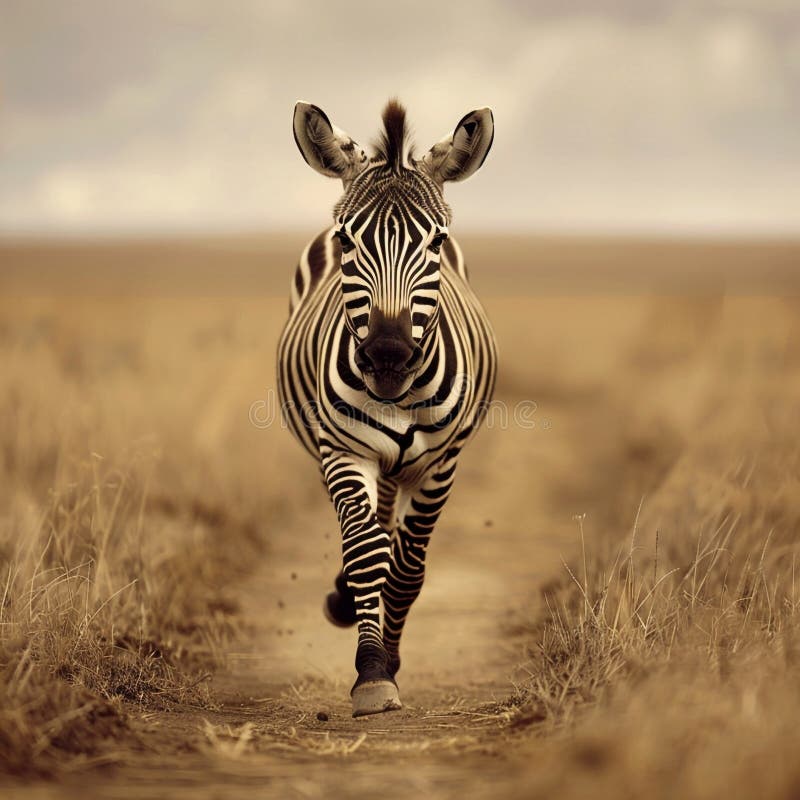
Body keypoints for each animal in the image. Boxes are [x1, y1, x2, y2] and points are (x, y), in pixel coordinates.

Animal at [278, 99, 497, 717]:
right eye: (348, 242)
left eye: (436, 244)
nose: (389, 357)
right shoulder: (343, 449)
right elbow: (366, 552)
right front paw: (372, 670)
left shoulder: (442, 462)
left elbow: (407, 569)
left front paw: (388, 660)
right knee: (370, 526)